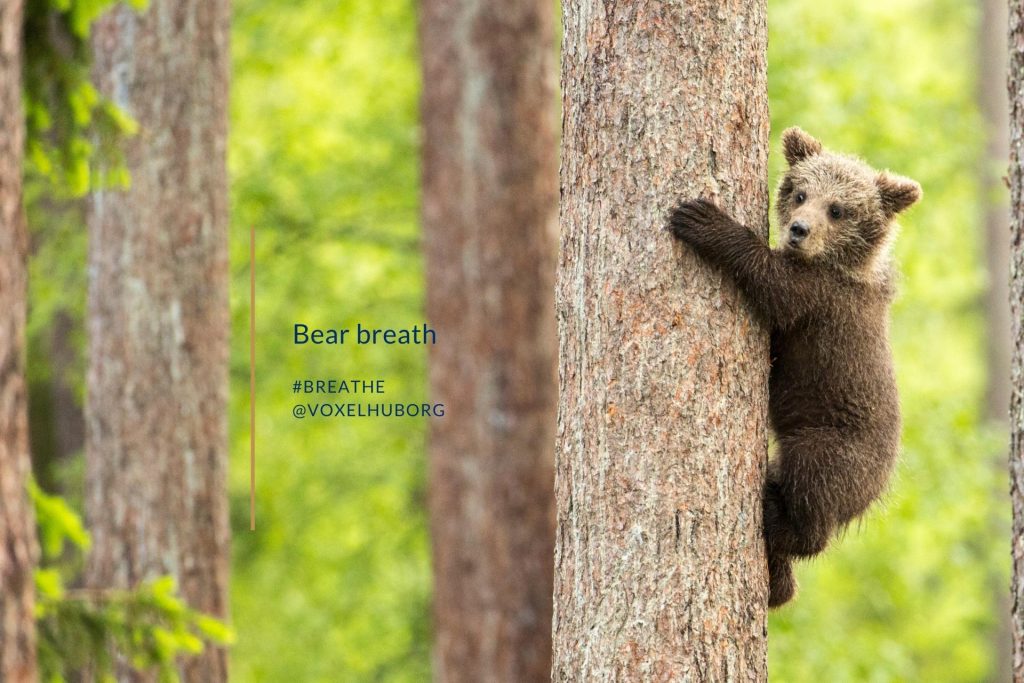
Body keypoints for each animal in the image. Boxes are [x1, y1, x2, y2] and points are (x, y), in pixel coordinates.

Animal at [666, 127, 921, 607]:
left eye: (837, 209)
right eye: (801, 192)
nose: (799, 229)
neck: (838, 264)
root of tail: (879, 488)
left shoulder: (818, 299)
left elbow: (770, 281)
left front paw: (701, 219)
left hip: (832, 445)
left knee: (812, 497)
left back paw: (776, 519)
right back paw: (779, 580)